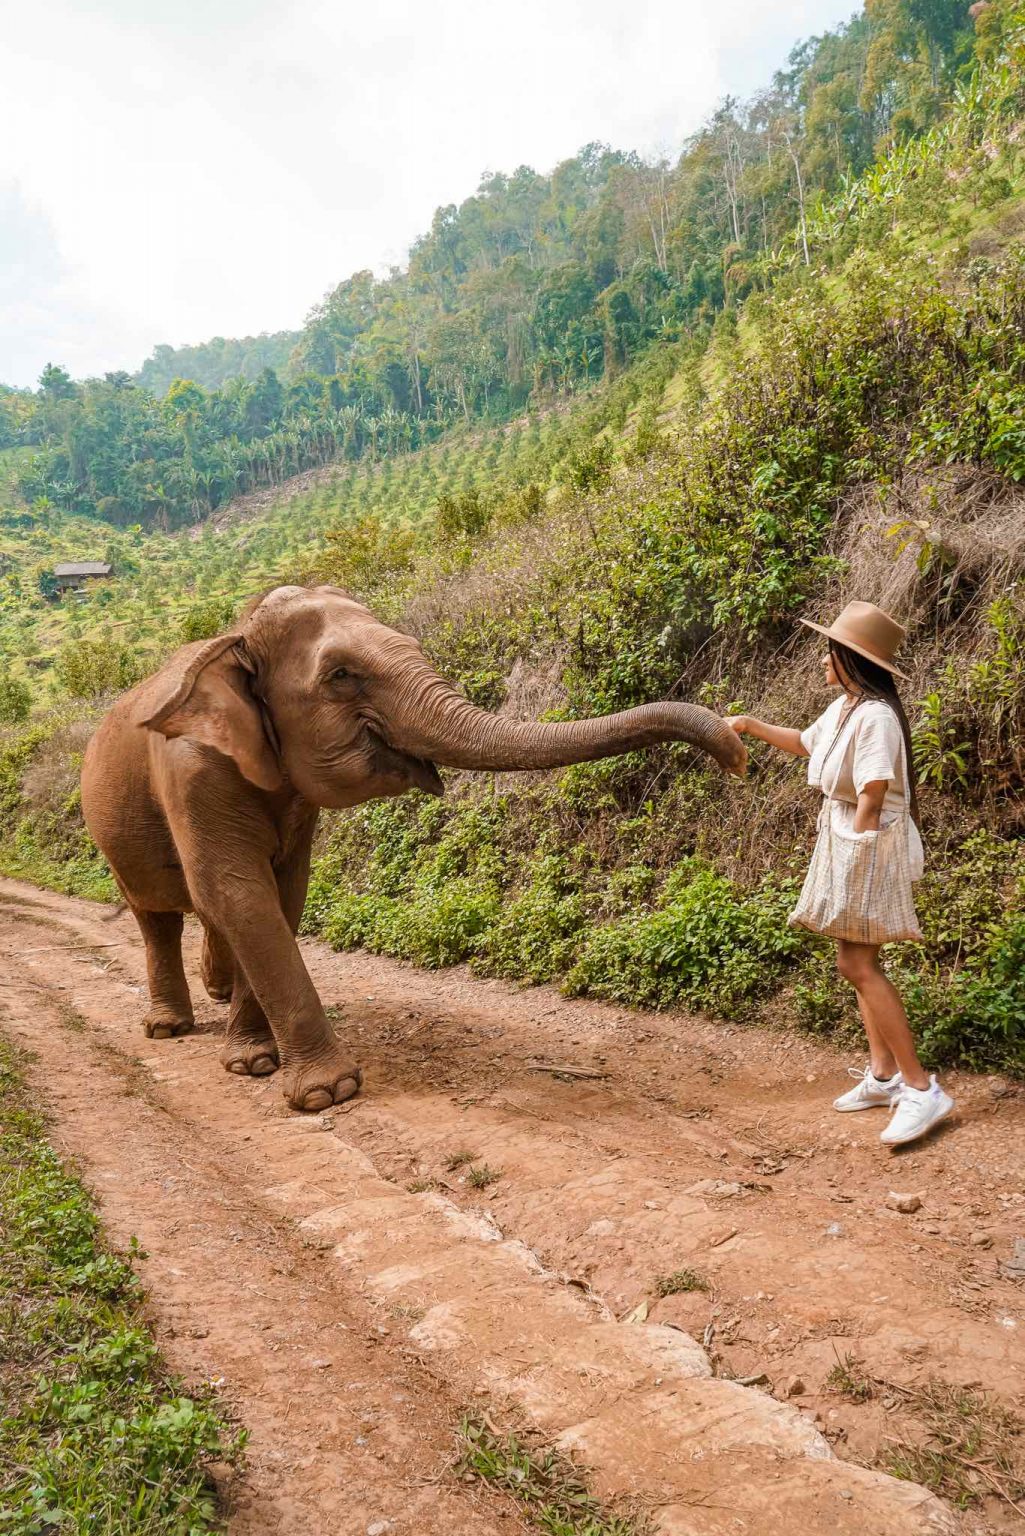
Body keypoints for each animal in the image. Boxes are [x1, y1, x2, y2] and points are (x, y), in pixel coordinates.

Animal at [81, 584, 747, 1111]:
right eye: (340, 676)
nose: (739, 751)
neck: (238, 637)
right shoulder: (192, 771)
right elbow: (240, 893)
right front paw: (325, 1093)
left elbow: (281, 893)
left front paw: (255, 1061)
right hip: (110, 832)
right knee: (158, 916)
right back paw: (167, 1029)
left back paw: (217, 996)